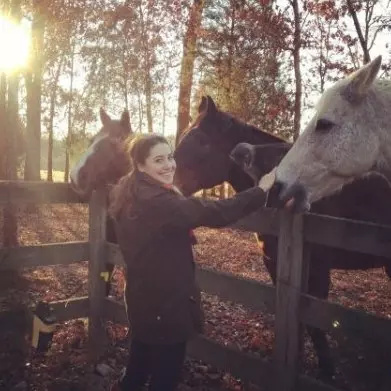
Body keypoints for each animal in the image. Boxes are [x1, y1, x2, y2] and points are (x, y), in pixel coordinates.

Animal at [174, 95, 391, 382]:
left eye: (201, 141)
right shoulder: (274, 262)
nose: (173, 187)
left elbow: (314, 324)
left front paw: (326, 372)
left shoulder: (317, 270)